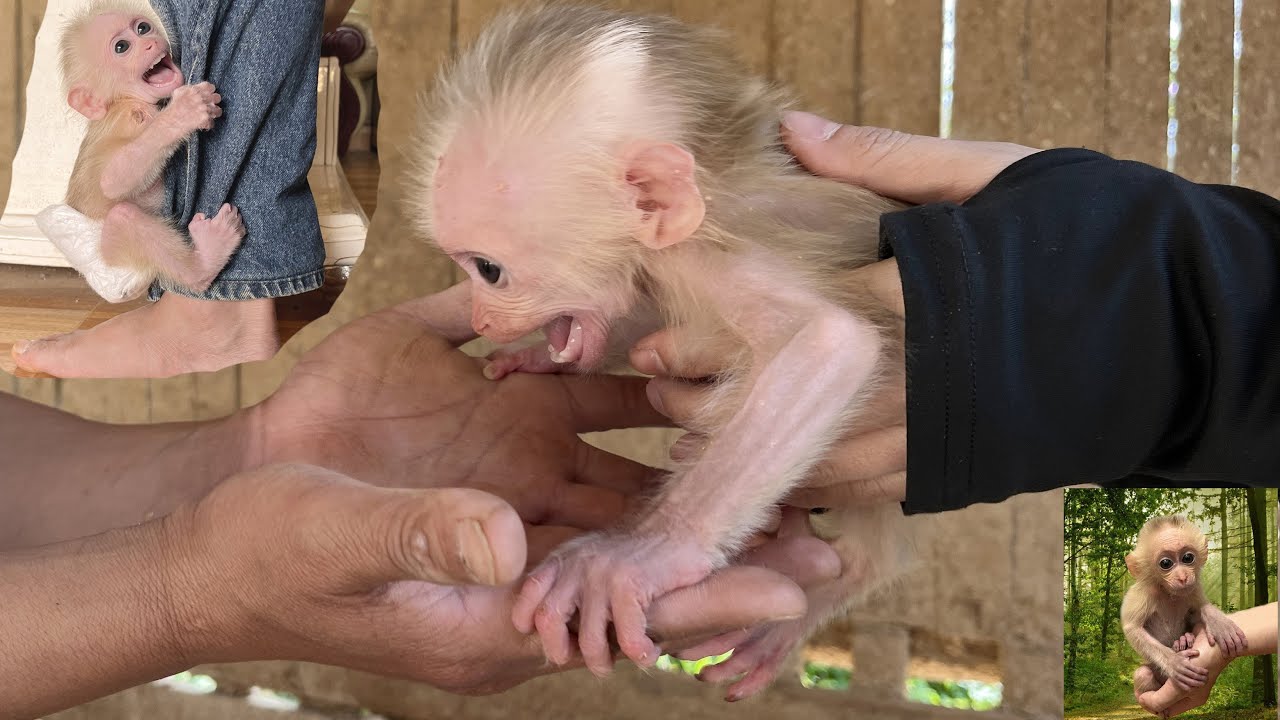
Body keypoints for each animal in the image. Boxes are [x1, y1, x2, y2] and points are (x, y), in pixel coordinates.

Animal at [48, 0, 244, 297]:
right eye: (121, 47)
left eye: (143, 28)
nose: (150, 43)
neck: (126, 99)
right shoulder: (127, 117)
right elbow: (112, 181)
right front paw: (183, 114)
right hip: (113, 253)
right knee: (123, 216)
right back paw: (204, 263)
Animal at [407, 5, 913, 697]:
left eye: (488, 270)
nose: (484, 316)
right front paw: (536, 357)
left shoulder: (701, 254)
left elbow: (828, 342)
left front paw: (644, 555)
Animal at [1120, 515, 1247, 709]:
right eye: (1166, 563)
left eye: (1188, 558)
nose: (1182, 577)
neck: (1167, 592)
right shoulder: (1142, 593)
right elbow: (1132, 627)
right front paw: (1175, 663)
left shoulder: (1194, 588)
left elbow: (1201, 607)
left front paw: (1216, 621)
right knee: (1143, 674)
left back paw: (1184, 640)